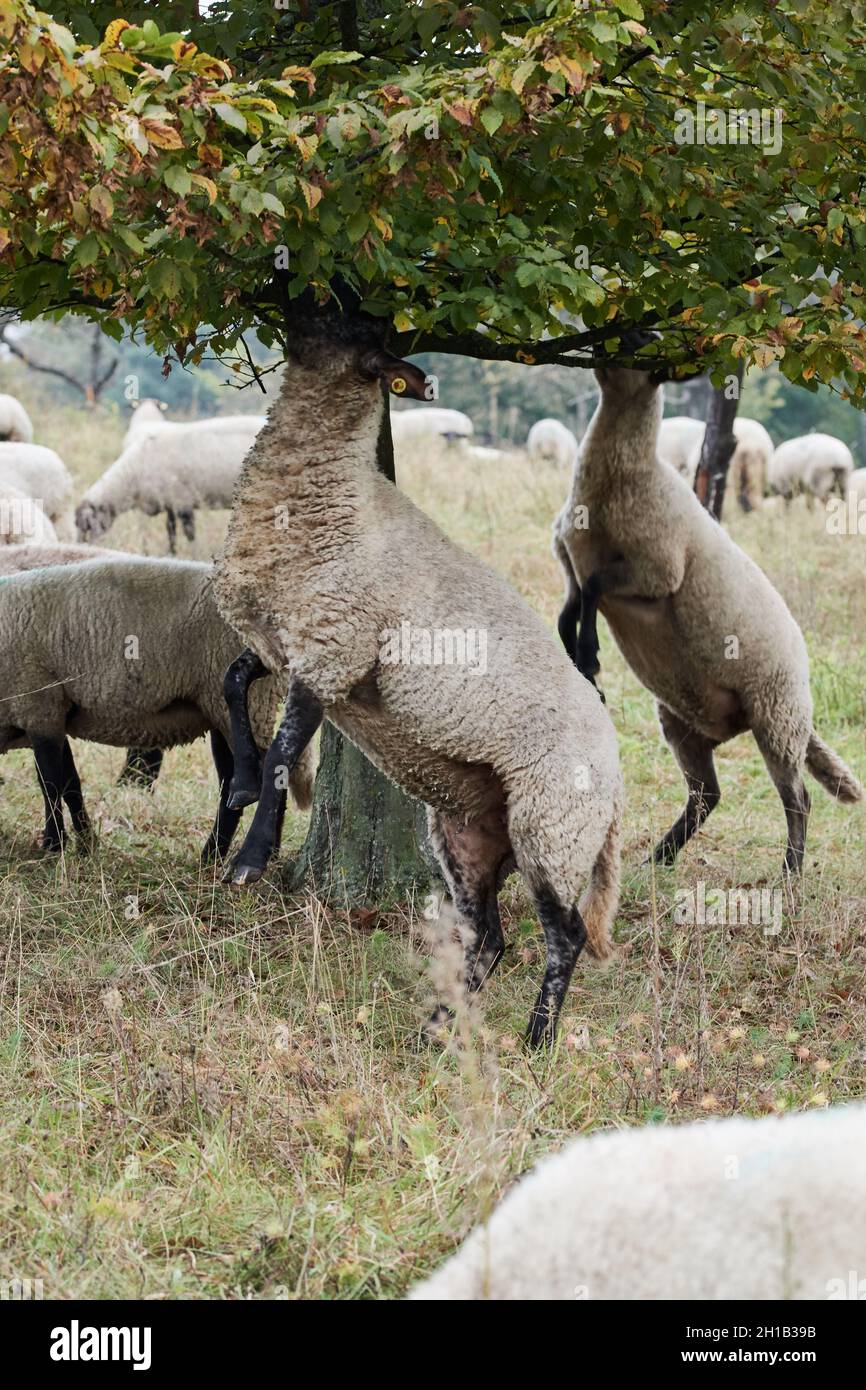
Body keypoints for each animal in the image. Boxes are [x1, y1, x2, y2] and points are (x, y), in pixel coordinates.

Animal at [0, 557, 313, 858]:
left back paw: (222, 853)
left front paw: (54, 846)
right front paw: (86, 845)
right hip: (222, 713)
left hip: (245, 702)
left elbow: (50, 784)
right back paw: (243, 853)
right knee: (237, 780)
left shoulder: (40, 707)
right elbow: (71, 785)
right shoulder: (54, 715)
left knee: (261, 775)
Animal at [77, 415, 265, 554]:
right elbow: (171, 532)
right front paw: (171, 553)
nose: (84, 548)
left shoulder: (183, 501)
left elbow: (189, 534)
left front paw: (193, 554)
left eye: (87, 525)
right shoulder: (169, 503)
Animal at [212, 303, 623, 1048]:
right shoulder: (291, 641)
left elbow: (288, 746)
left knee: (566, 934)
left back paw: (537, 1041)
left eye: (342, 320)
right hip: (472, 837)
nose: (291, 291)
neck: (340, 494)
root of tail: (617, 782)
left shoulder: (336, 646)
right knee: (489, 936)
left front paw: (250, 858)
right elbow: (234, 682)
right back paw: (435, 1031)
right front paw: (241, 786)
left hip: (553, 828)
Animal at [553, 340, 862, 875]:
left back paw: (790, 873)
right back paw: (657, 860)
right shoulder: (569, 560)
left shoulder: (659, 569)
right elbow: (568, 609)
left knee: (797, 798)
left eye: (641, 342)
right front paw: (577, 659)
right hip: (684, 724)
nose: (596, 347)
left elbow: (594, 590)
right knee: (706, 796)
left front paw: (589, 657)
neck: (628, 476)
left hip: (776, 714)